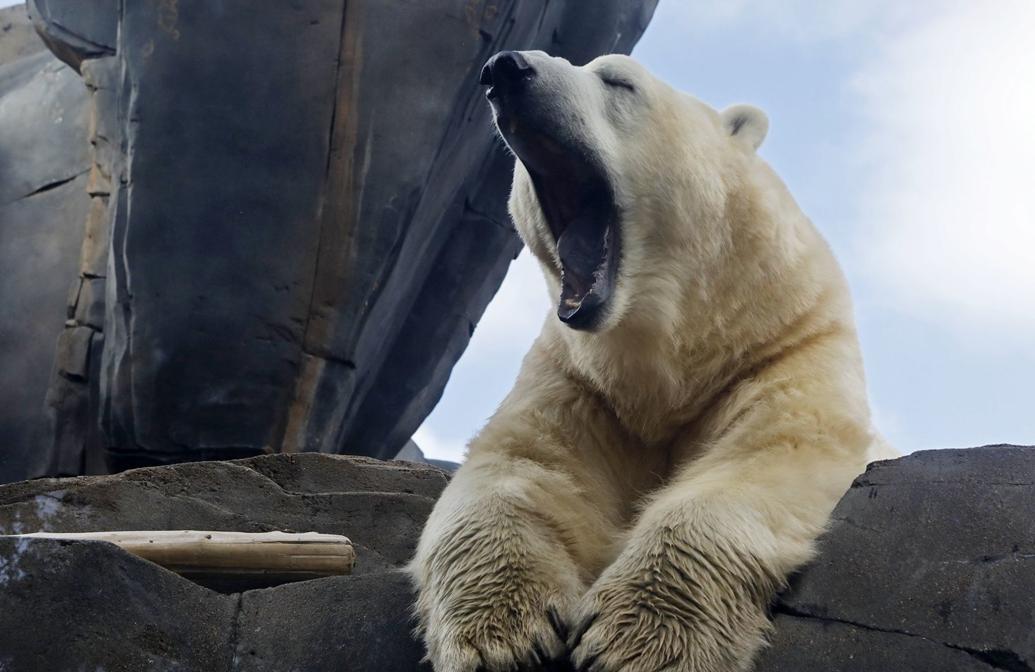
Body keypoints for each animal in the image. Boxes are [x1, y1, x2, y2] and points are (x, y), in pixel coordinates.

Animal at [409, 50, 894, 672]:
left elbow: (758, 456)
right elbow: (525, 466)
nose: (505, 70)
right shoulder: (577, 378)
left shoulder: (785, 349)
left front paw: (640, 640)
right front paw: (503, 636)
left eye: (619, 81)